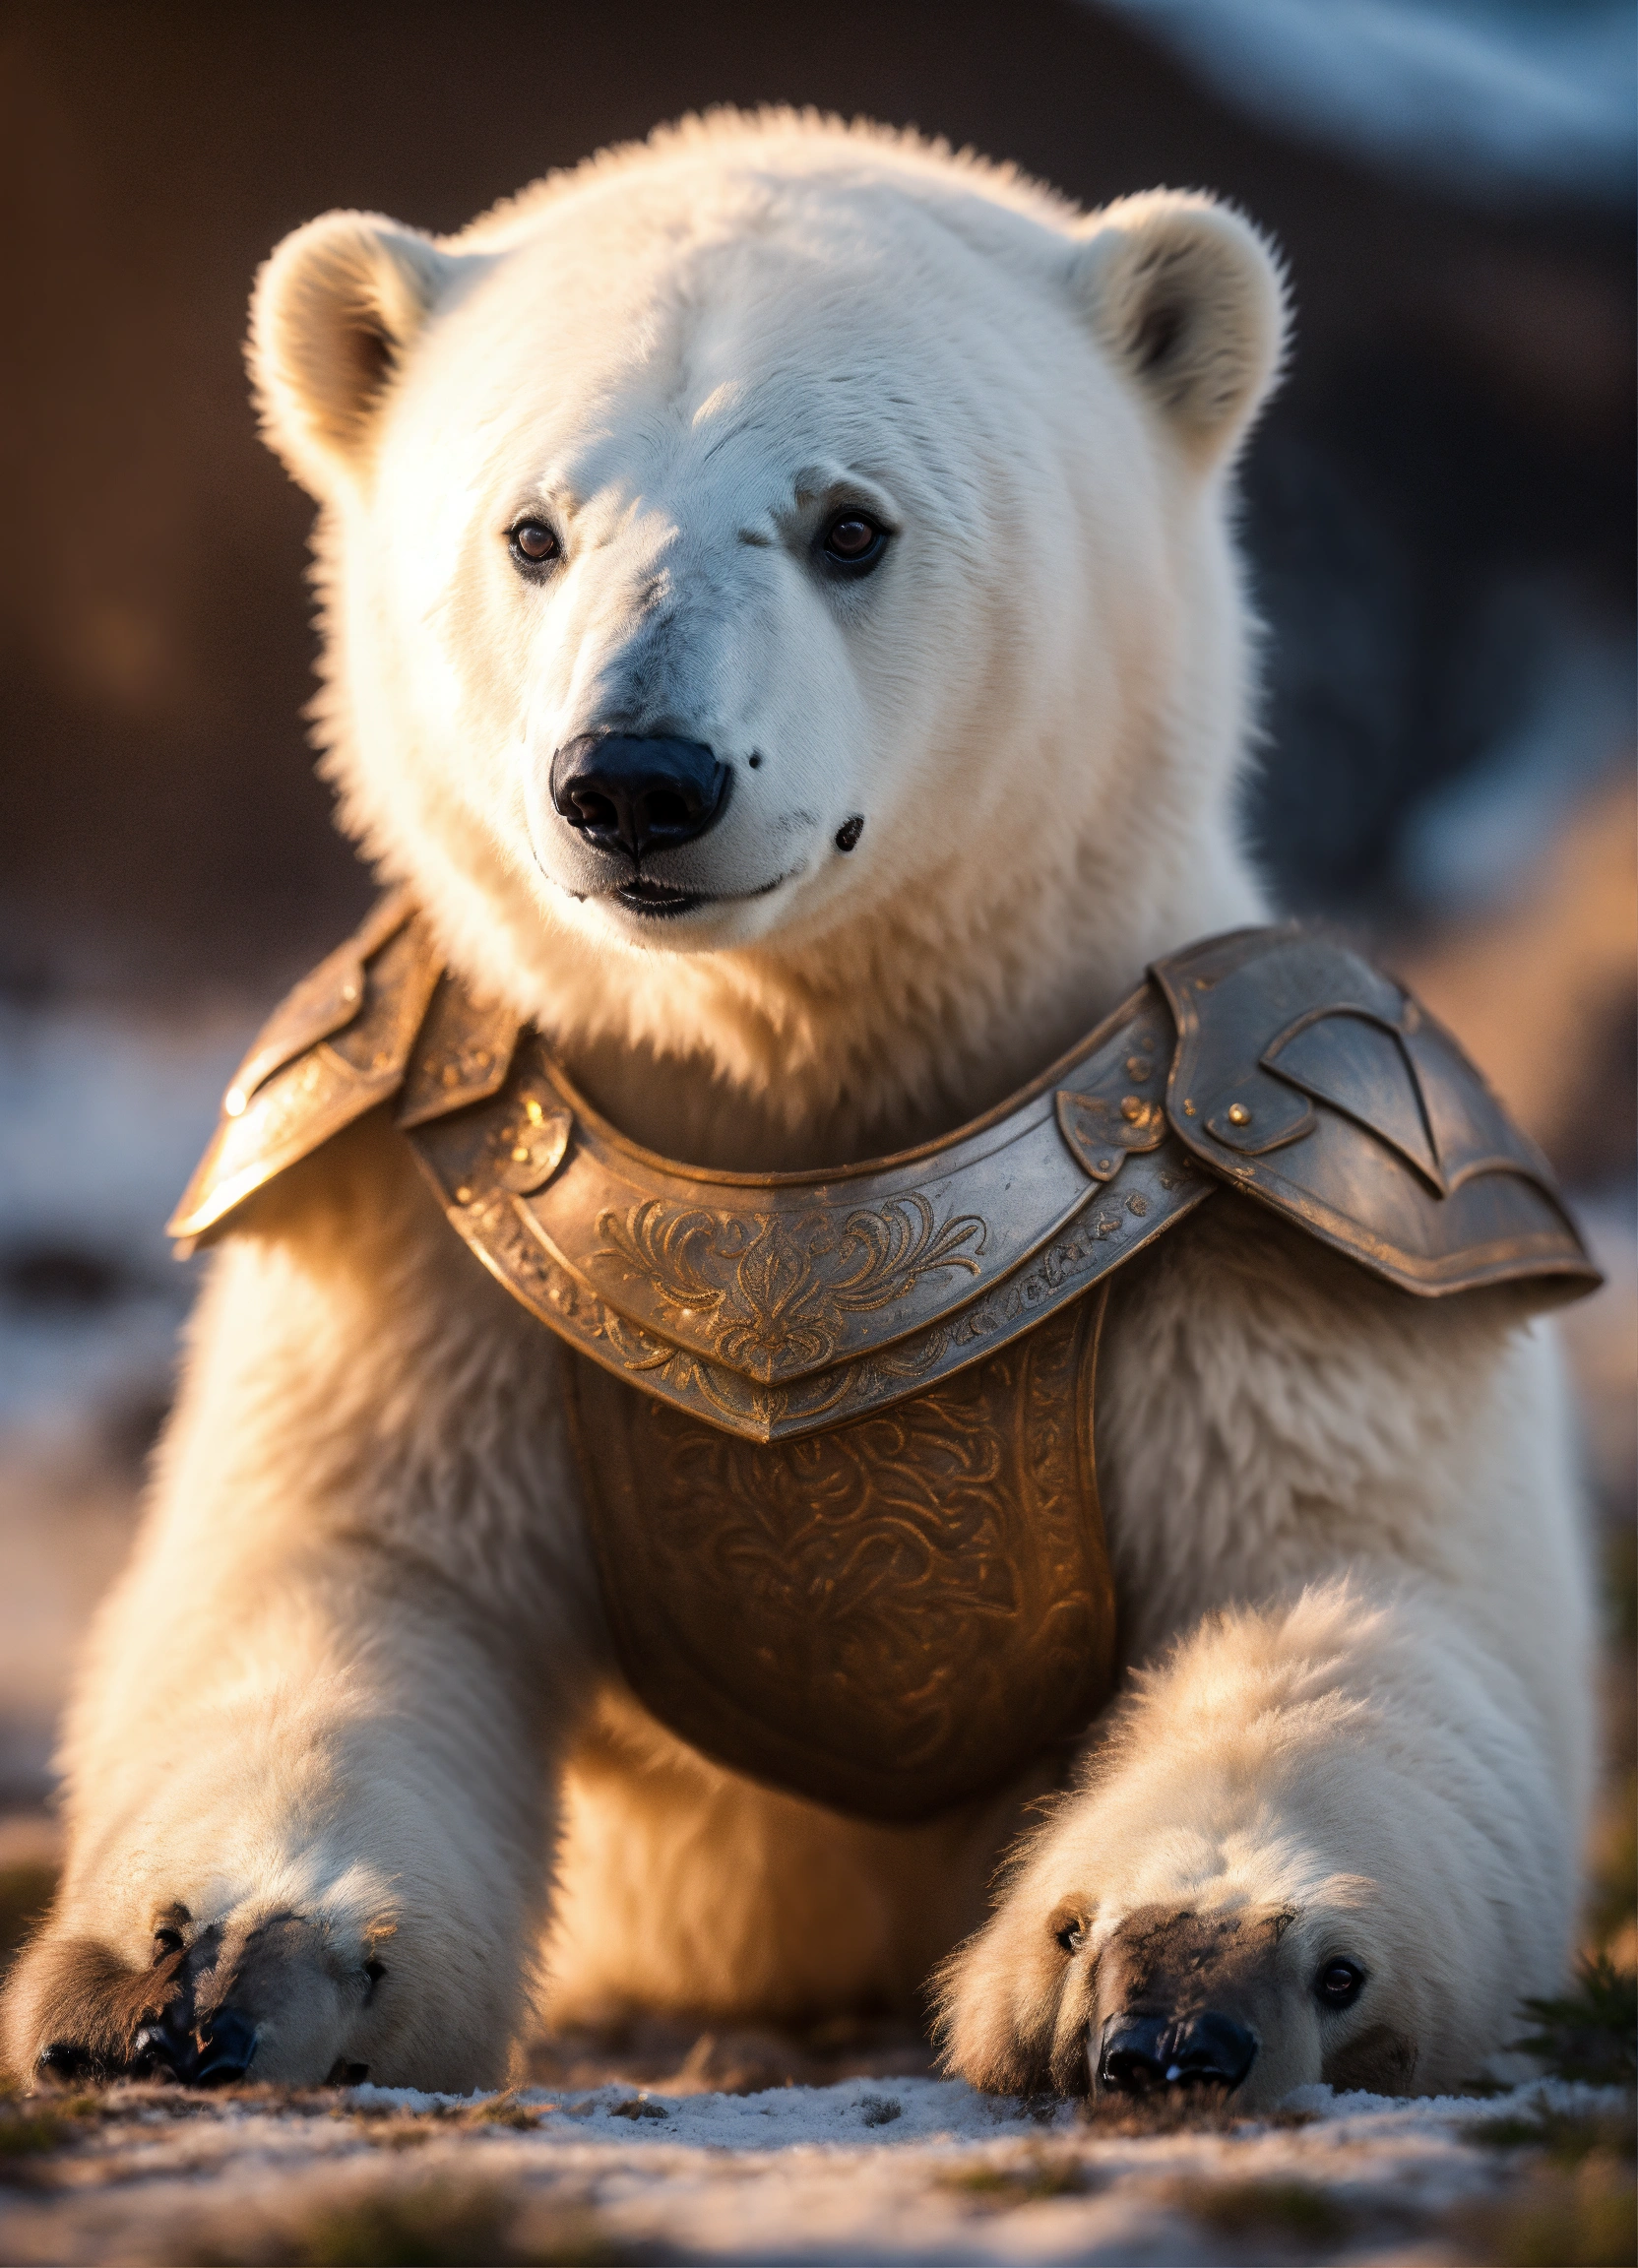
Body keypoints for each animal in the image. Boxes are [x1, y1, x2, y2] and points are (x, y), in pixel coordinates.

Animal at [3, 111, 1596, 2108]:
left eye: (849, 524)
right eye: (533, 530)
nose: (636, 780)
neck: (792, 1089)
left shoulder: (1300, 1214)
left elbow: (1364, 1591)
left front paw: (1177, 1953)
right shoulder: (397, 1215)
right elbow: (333, 1579)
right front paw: (210, 1956)